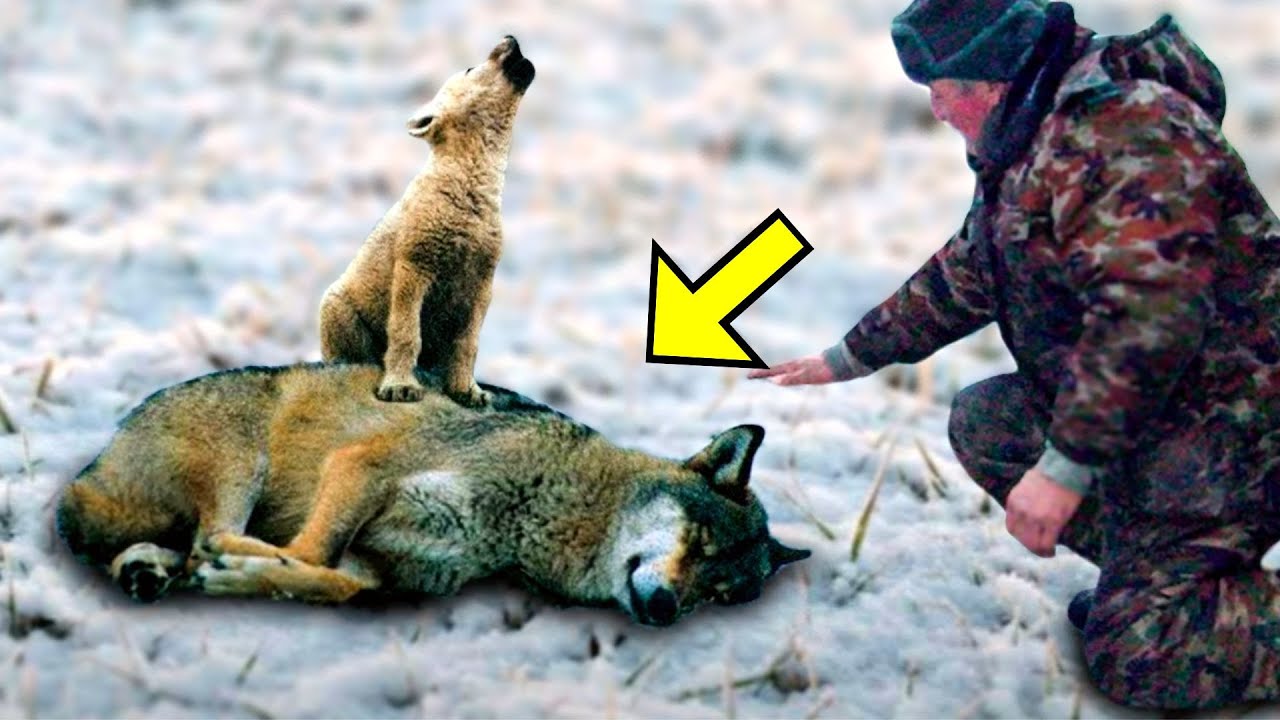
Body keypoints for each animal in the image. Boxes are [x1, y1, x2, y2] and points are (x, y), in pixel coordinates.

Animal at [55, 363, 809, 626]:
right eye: (699, 542)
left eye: (722, 594)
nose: (664, 612)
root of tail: (88, 468)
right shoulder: (362, 467)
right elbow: (314, 556)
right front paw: (244, 572)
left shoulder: (388, 568)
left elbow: (337, 583)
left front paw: (252, 579)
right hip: (242, 464)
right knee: (208, 534)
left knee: (173, 546)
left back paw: (153, 572)